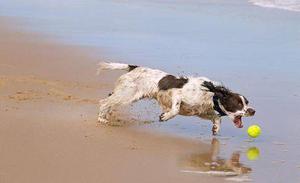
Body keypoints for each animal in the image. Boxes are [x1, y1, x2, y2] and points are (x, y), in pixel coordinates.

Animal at [96, 62, 255, 135]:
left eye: (246, 102)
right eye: (238, 104)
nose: (253, 111)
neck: (210, 95)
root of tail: (134, 67)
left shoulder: (201, 112)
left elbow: (217, 118)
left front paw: (216, 128)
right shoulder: (177, 94)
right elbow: (175, 109)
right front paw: (165, 116)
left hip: (126, 94)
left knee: (109, 100)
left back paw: (106, 116)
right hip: (127, 94)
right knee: (104, 102)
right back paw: (101, 118)